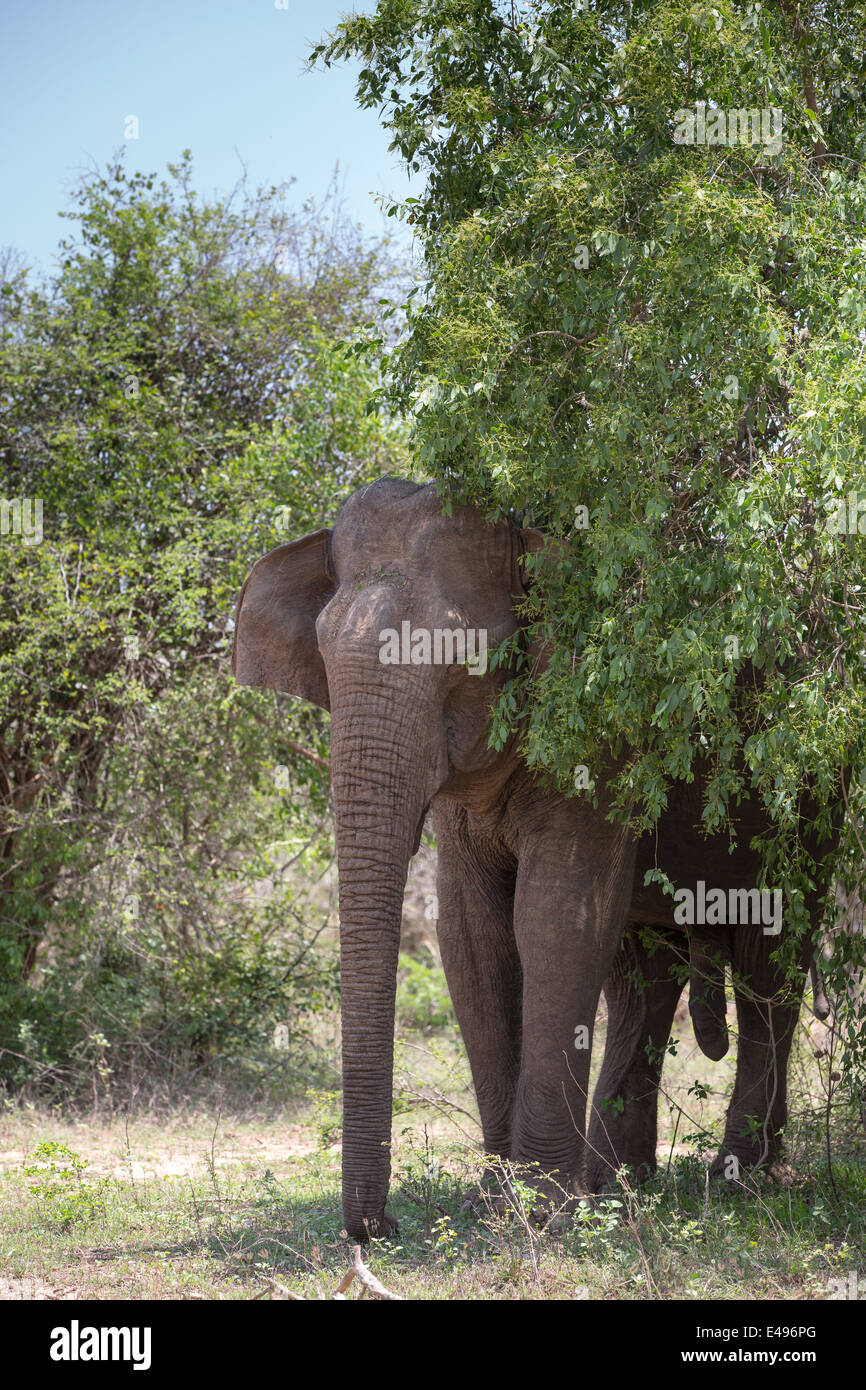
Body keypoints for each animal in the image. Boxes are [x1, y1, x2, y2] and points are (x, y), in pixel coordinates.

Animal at [232, 476, 837, 1238]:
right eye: (321, 656)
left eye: (465, 662)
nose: (379, 1229)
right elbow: (473, 940)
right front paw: (494, 1203)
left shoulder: (603, 730)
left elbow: (556, 921)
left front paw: (537, 1211)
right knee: (642, 975)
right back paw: (618, 1185)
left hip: (812, 794)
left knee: (769, 961)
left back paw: (739, 1181)